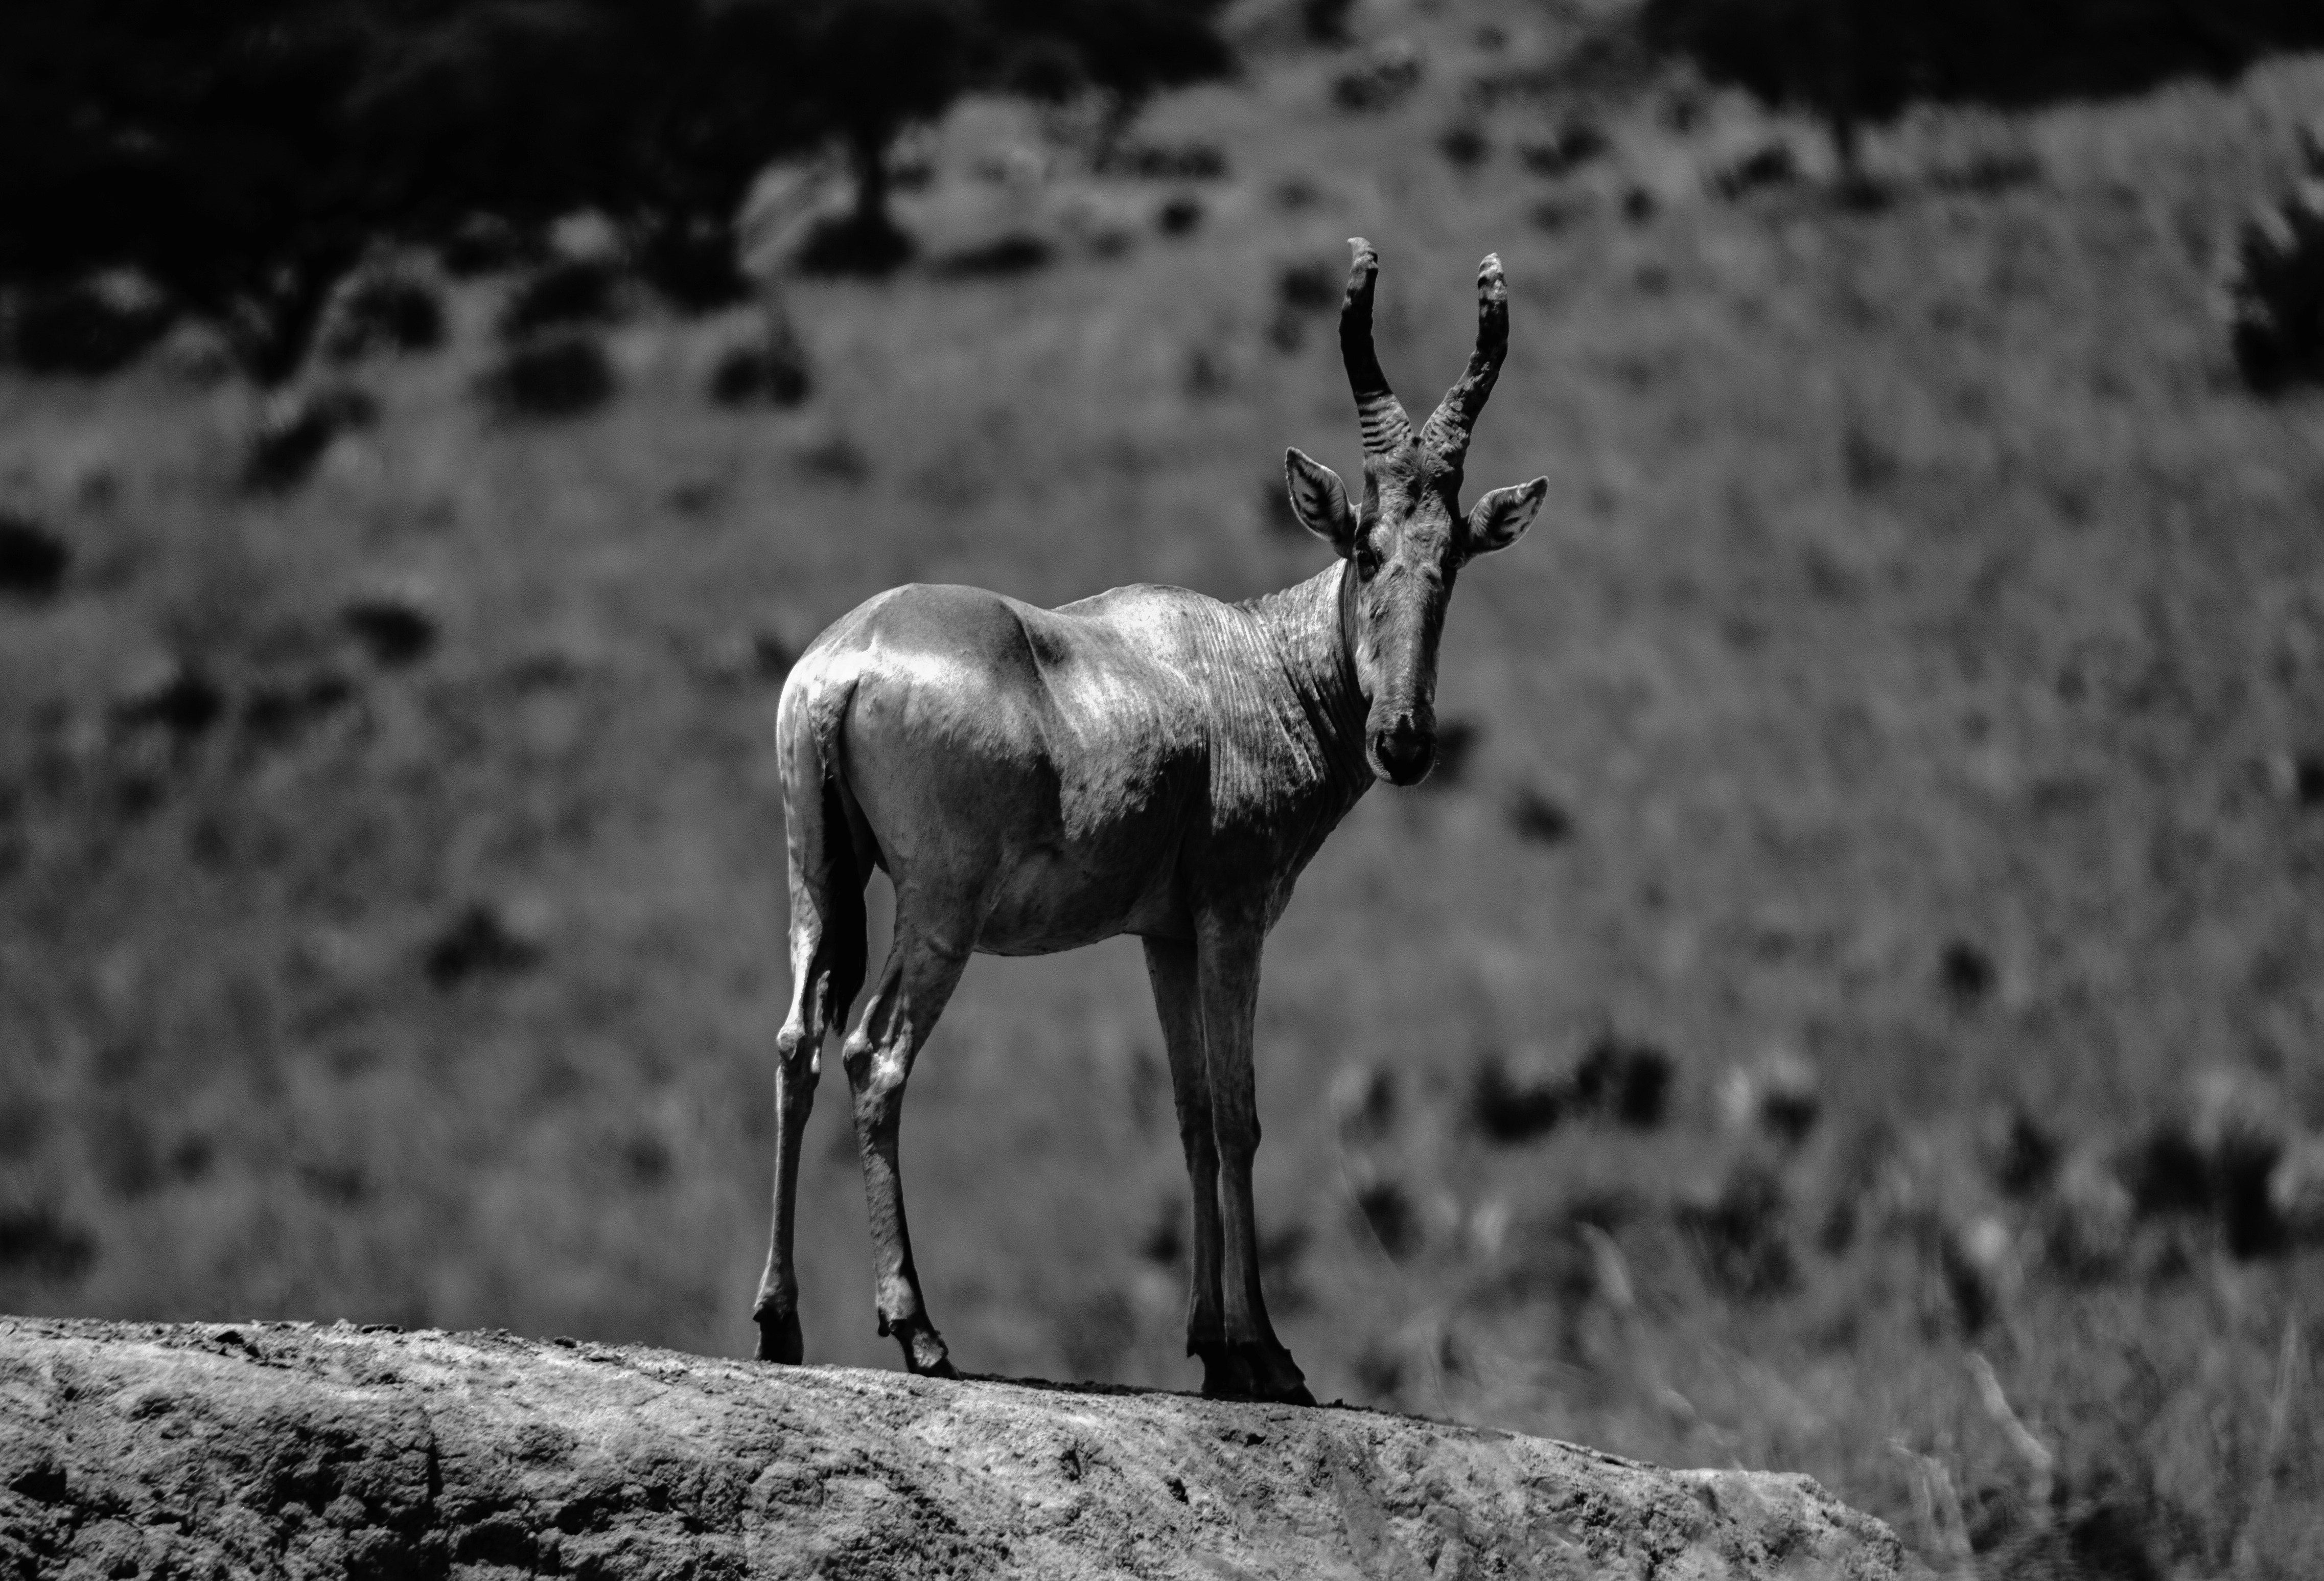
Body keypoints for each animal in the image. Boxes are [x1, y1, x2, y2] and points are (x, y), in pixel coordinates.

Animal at [753, 240, 1547, 1403]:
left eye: (1452, 556)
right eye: (1363, 545)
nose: (1403, 740)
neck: (1247, 659)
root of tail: (848, 660)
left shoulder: (1163, 934)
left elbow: (1189, 1116)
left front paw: (1215, 1344)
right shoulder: (1231, 914)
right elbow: (1240, 1111)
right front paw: (1267, 1354)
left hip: (818, 878)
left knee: (797, 1041)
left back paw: (779, 1324)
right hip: (940, 910)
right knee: (874, 1050)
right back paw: (919, 1328)